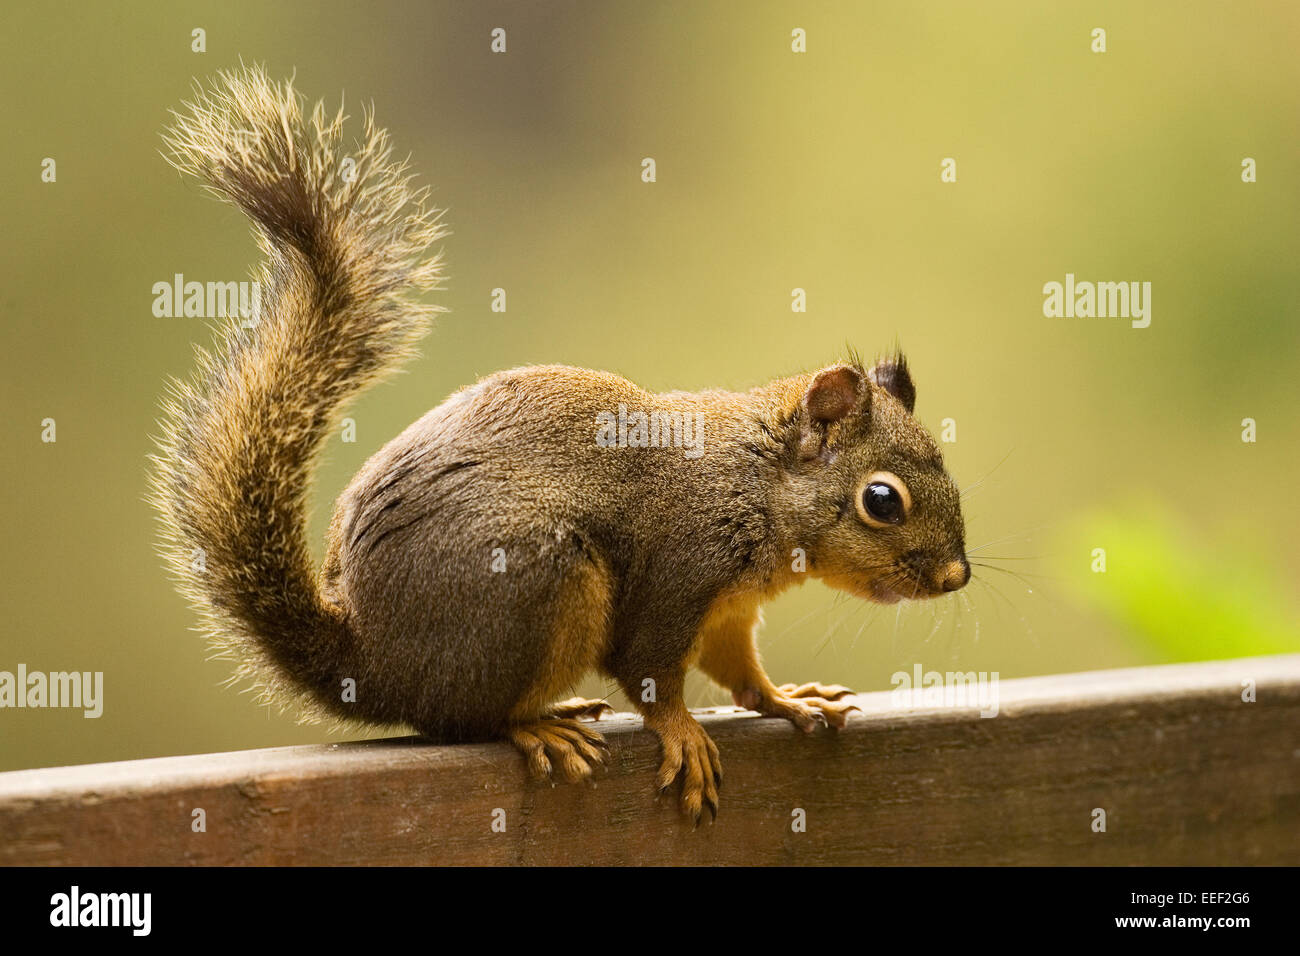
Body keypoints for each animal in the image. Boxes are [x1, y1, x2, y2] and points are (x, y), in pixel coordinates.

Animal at [152, 66, 970, 825]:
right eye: (881, 500)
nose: (957, 576)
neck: (755, 483)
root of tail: (370, 665)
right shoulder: (678, 572)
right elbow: (648, 672)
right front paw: (683, 735)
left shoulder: (728, 610)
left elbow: (739, 669)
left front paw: (788, 698)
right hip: (541, 580)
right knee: (465, 719)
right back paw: (537, 726)